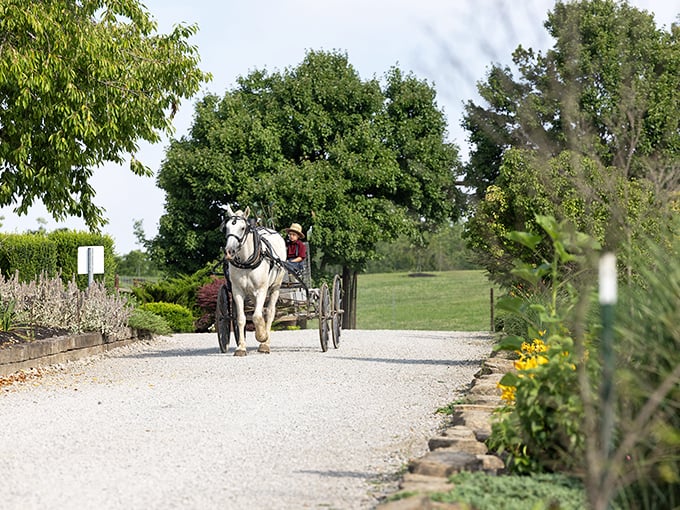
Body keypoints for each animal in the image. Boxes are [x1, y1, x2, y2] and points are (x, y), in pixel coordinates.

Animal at [220, 205, 287, 356]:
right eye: (226, 227)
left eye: (242, 228)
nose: (229, 251)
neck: (246, 262)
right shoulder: (237, 291)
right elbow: (241, 319)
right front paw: (241, 347)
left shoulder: (261, 290)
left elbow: (257, 316)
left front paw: (262, 336)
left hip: (275, 287)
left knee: (270, 312)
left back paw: (265, 344)